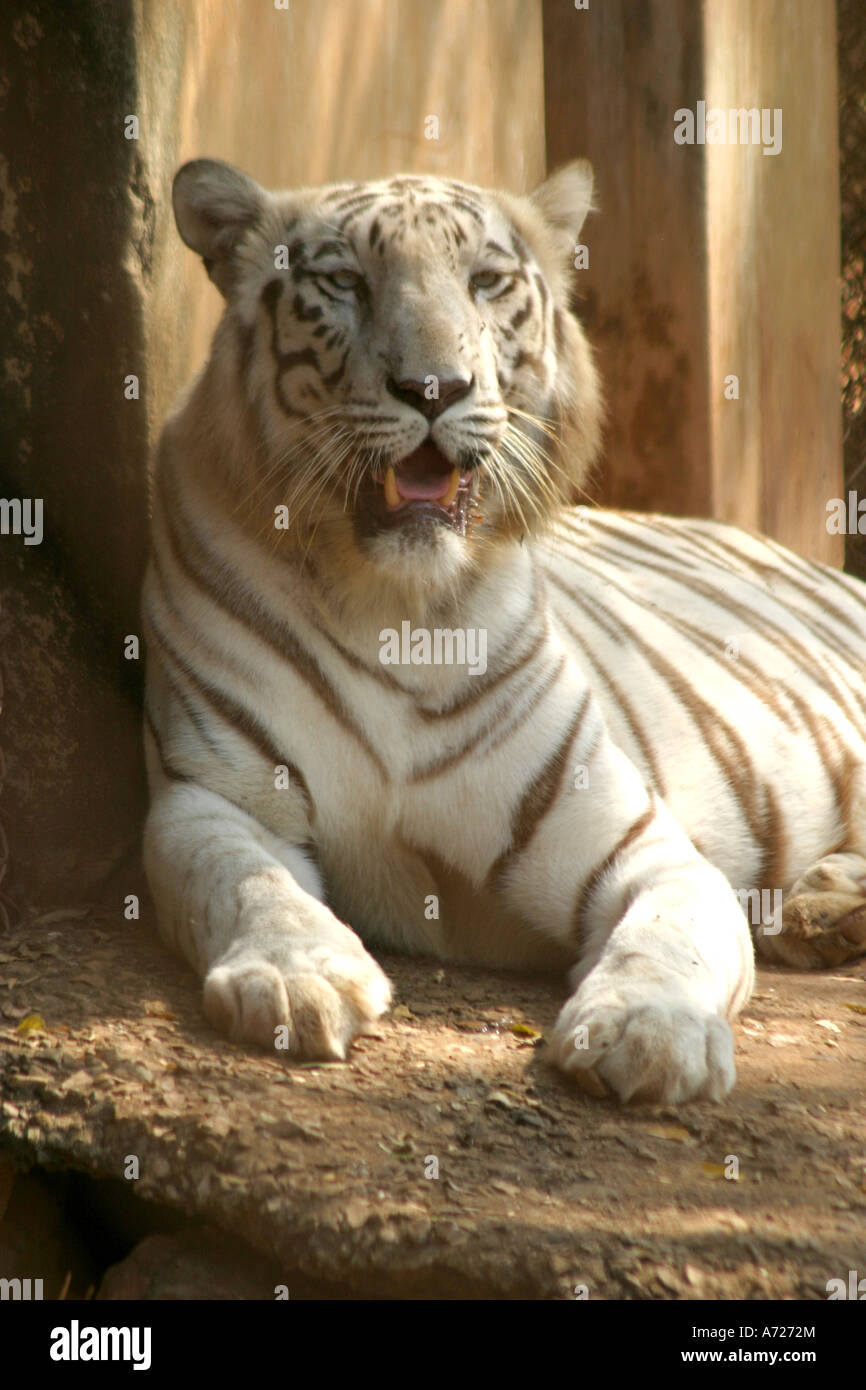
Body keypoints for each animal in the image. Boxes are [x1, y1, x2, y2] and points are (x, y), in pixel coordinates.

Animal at [141, 155, 866, 1105]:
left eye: (485, 282)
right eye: (344, 282)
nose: (433, 389)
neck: (396, 609)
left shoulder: (640, 845)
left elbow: (669, 934)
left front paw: (645, 1031)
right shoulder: (209, 793)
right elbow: (244, 881)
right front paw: (295, 976)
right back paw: (825, 906)